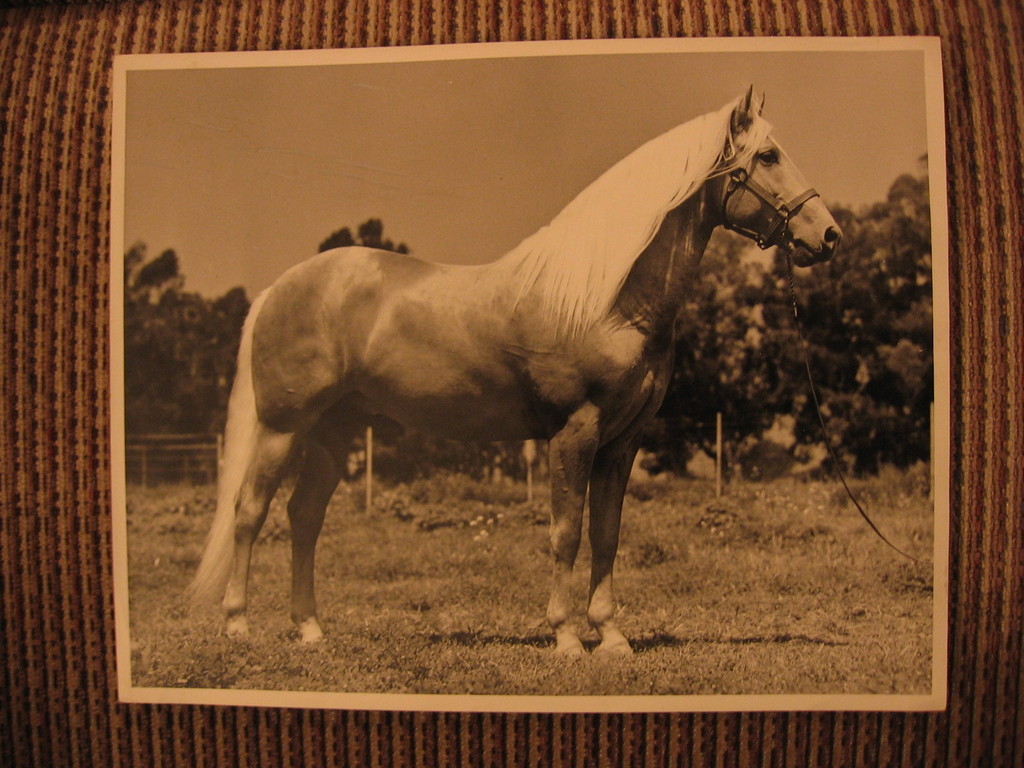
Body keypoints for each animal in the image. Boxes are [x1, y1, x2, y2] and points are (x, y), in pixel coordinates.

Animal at [186, 88, 841, 657]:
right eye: (768, 156)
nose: (828, 235)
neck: (608, 298)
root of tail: (279, 287)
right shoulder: (574, 432)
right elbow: (565, 533)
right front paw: (568, 639)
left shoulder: (622, 441)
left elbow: (606, 535)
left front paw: (612, 638)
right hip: (283, 427)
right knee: (250, 513)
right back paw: (239, 624)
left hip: (334, 431)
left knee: (304, 517)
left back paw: (310, 629)